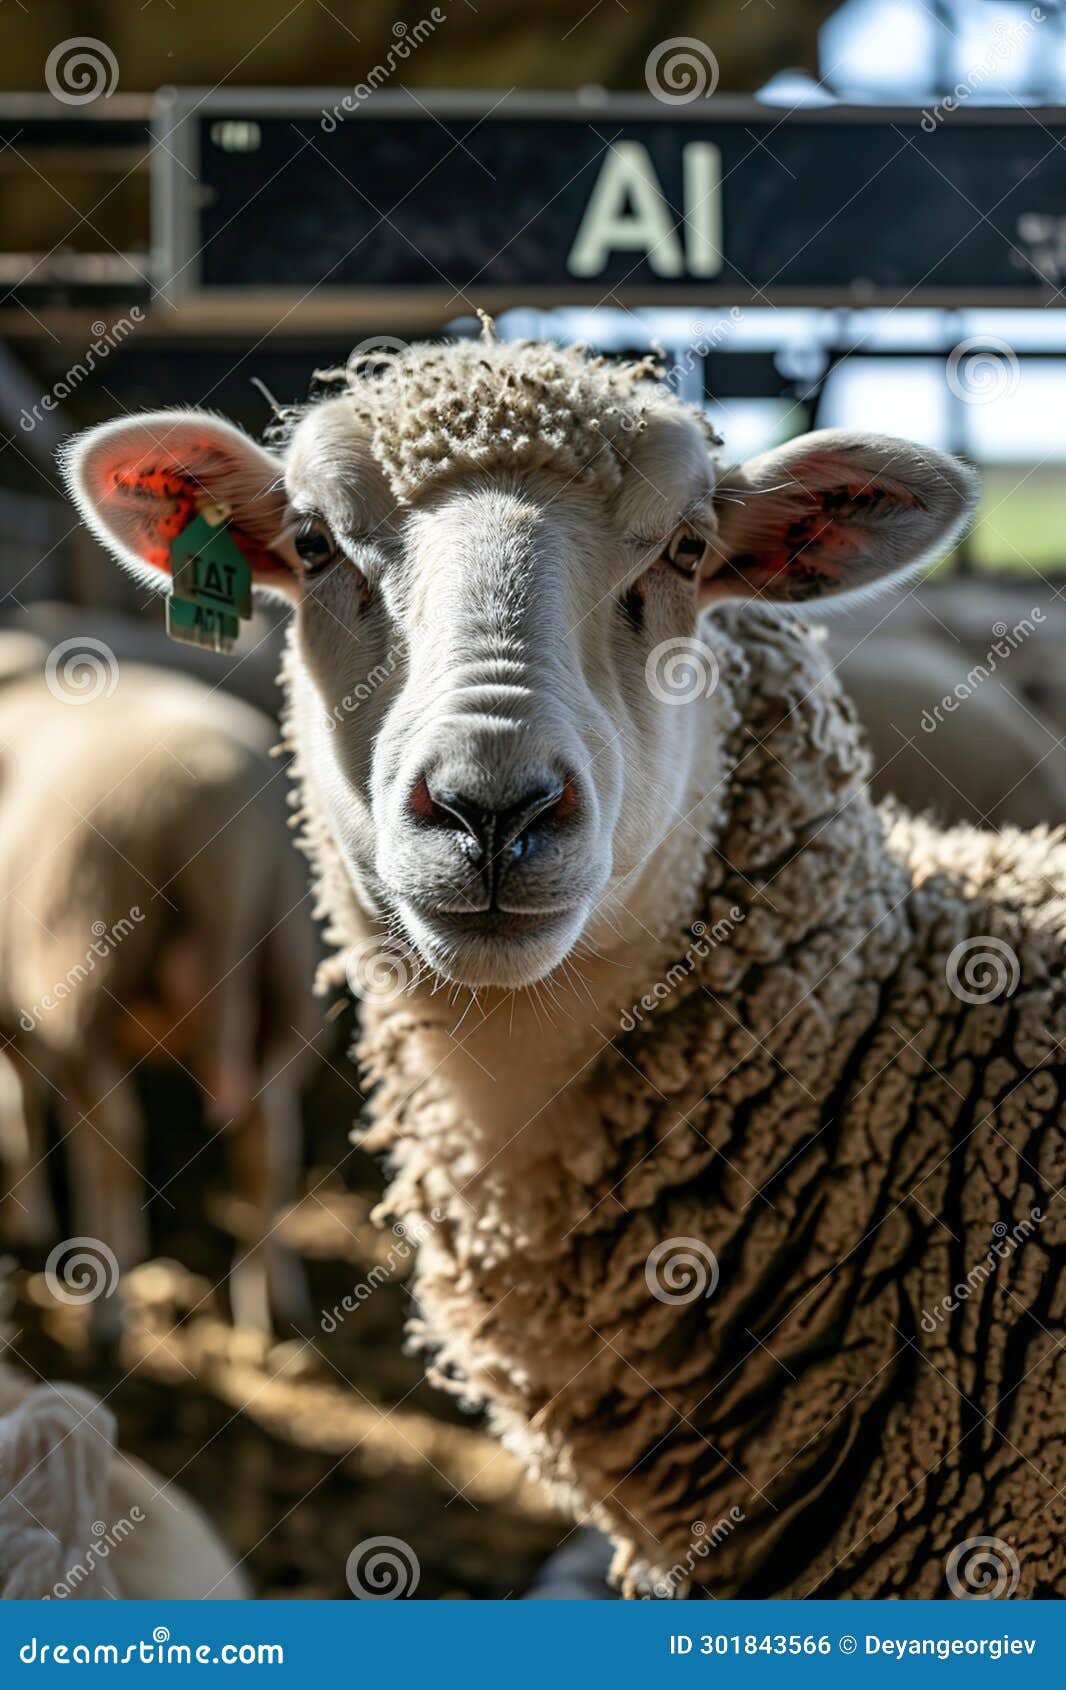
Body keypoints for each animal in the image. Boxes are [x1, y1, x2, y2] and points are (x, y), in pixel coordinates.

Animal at [0, 654, 316, 1337]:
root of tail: (226, 825)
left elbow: (31, 1110)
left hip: (82, 978)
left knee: (117, 1145)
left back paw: (105, 1313)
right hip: (285, 984)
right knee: (269, 1147)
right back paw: (268, 1314)